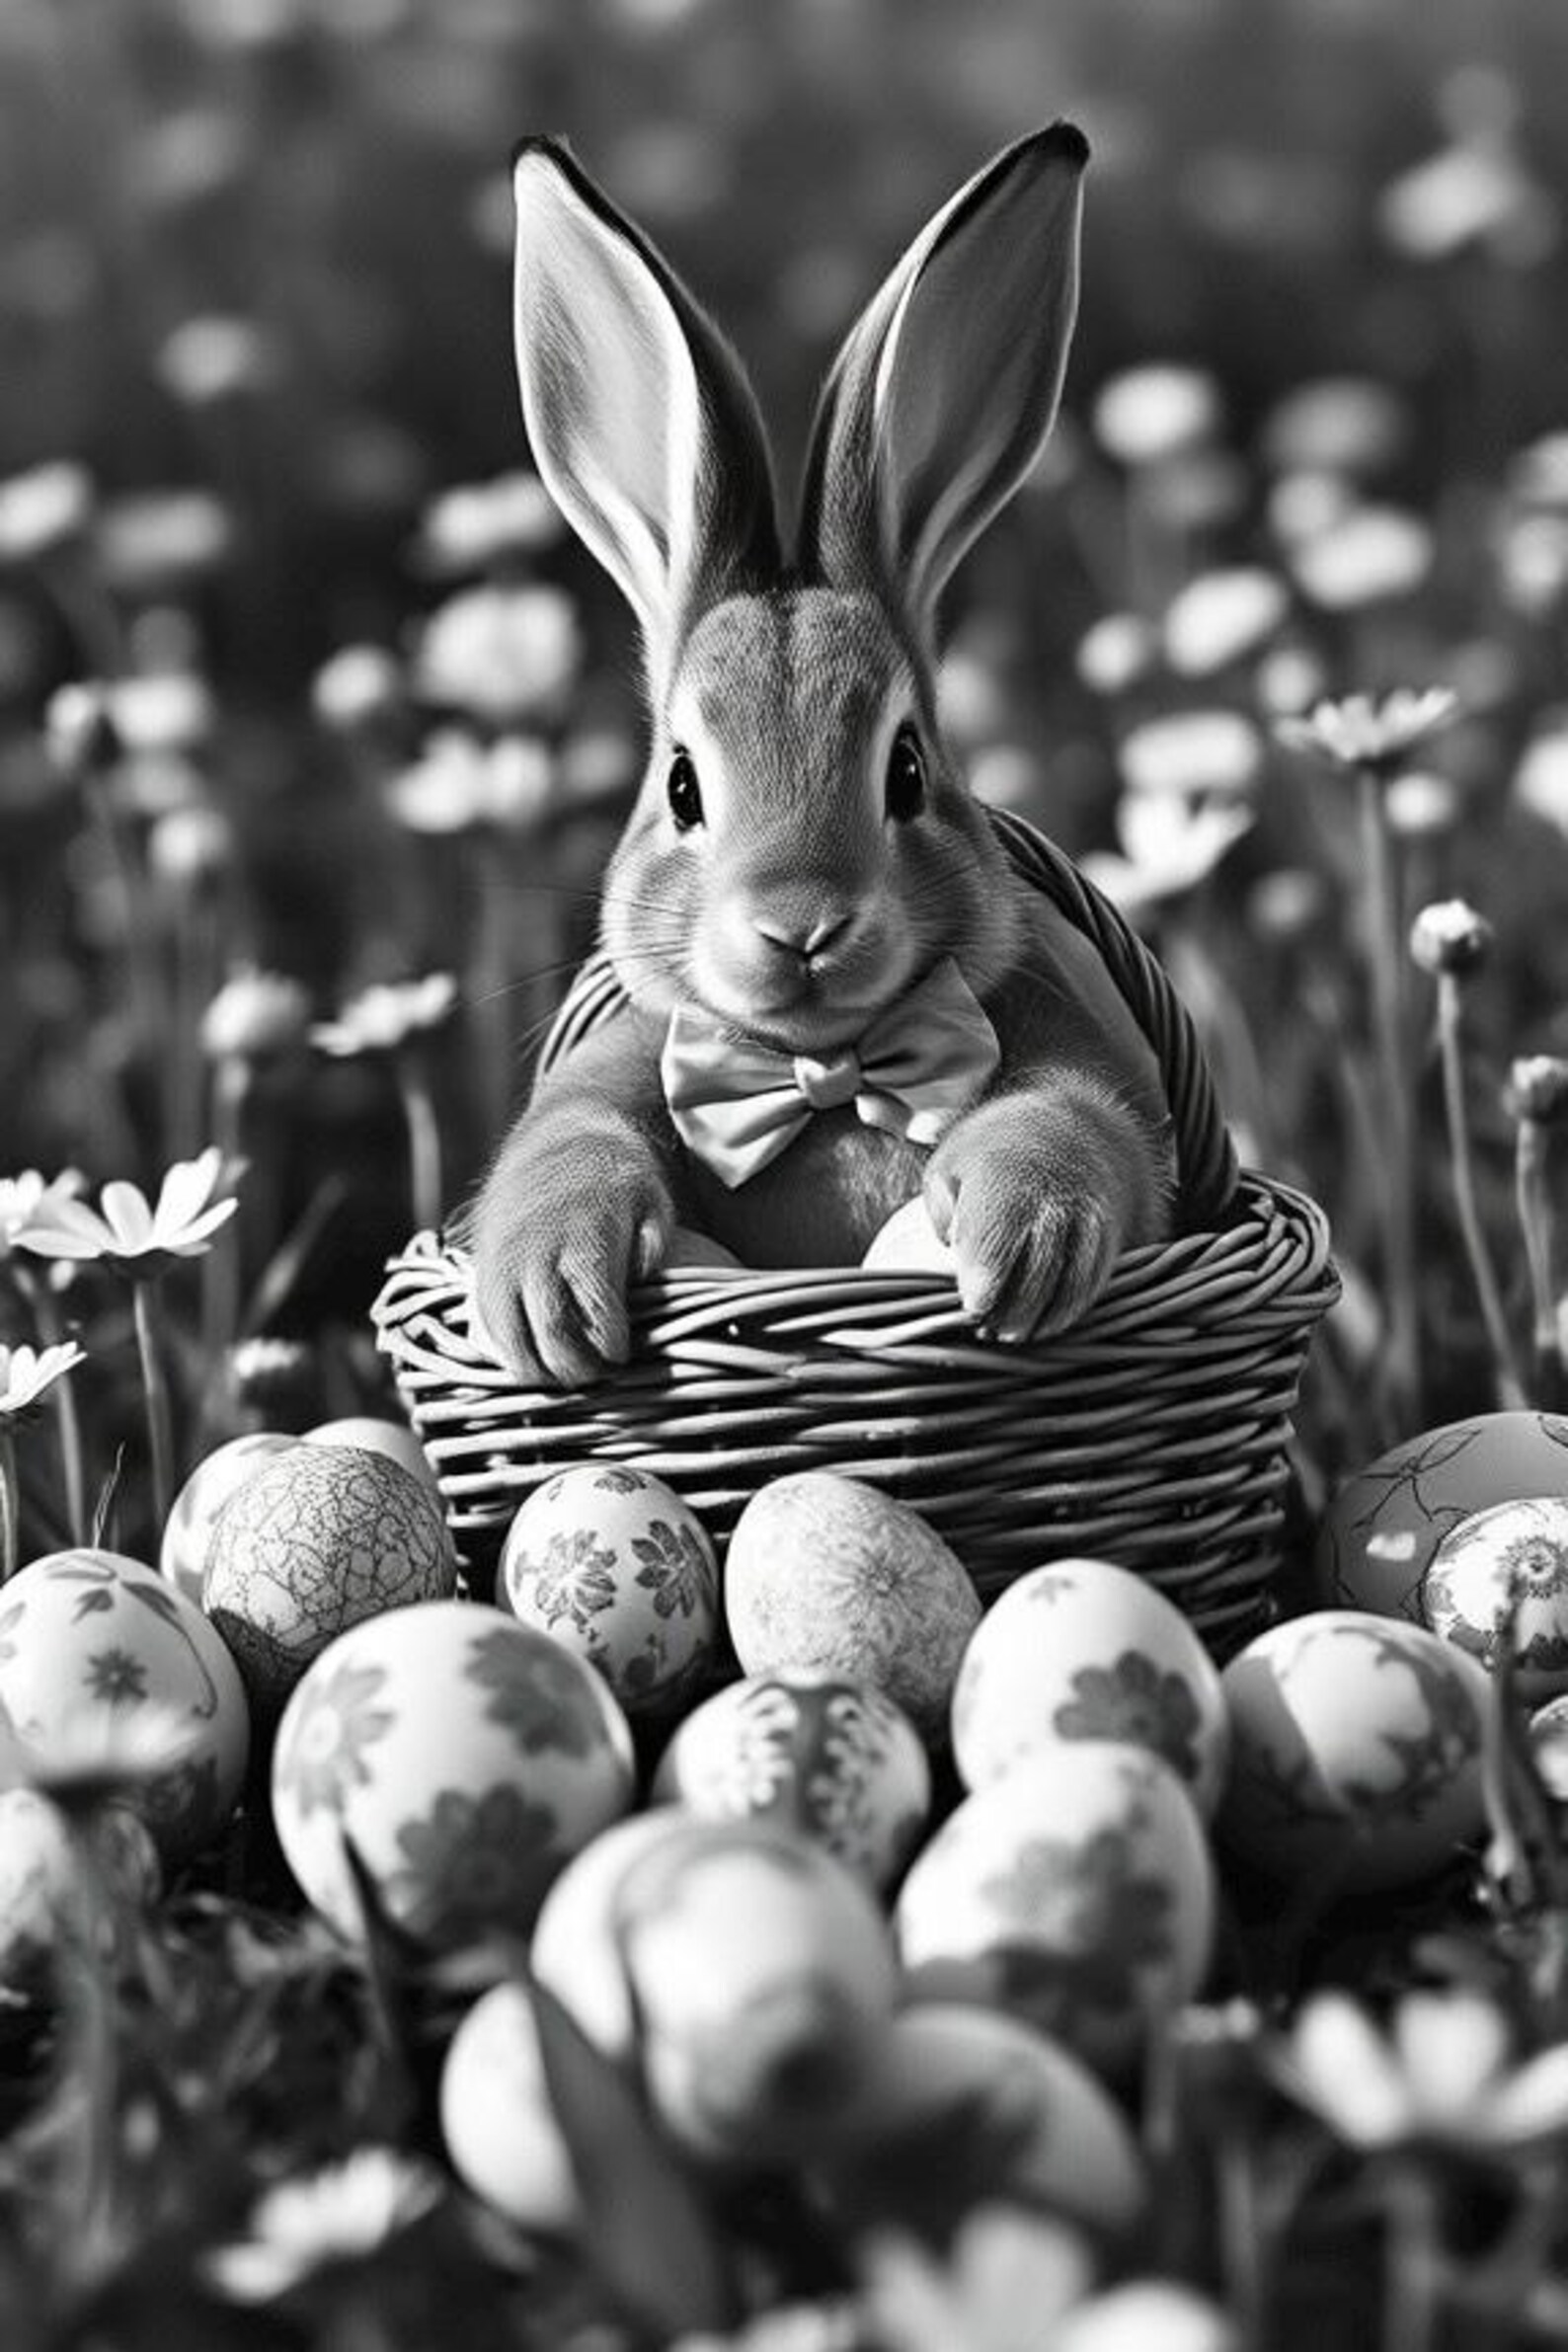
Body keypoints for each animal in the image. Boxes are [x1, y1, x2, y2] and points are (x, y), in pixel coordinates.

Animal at [467, 123, 1178, 1388]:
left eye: (906, 773)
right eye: (682, 787)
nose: (798, 924)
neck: (824, 1074)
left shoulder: (1069, 1052)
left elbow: (1072, 1118)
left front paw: (1020, 1249)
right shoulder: (627, 1064)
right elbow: (570, 1135)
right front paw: (547, 1294)